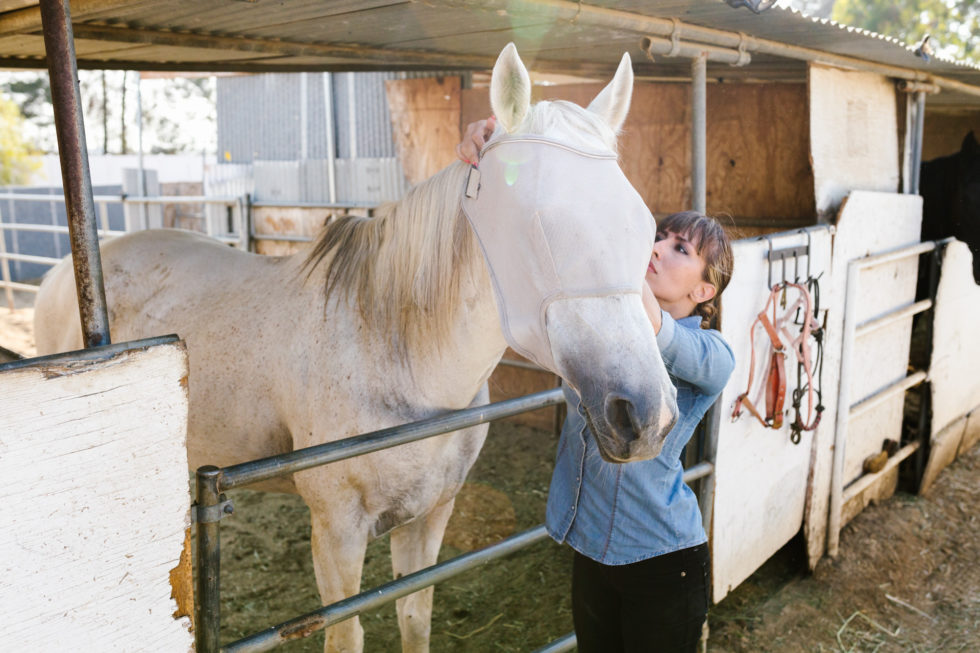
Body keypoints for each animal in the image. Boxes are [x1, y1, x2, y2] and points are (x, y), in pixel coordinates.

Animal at [33, 44, 677, 653]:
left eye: (644, 227)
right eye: (539, 223)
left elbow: (415, 619)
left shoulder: (430, 514)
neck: (394, 346)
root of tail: (62, 274)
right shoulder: (337, 531)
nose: (646, 414)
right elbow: (347, 637)